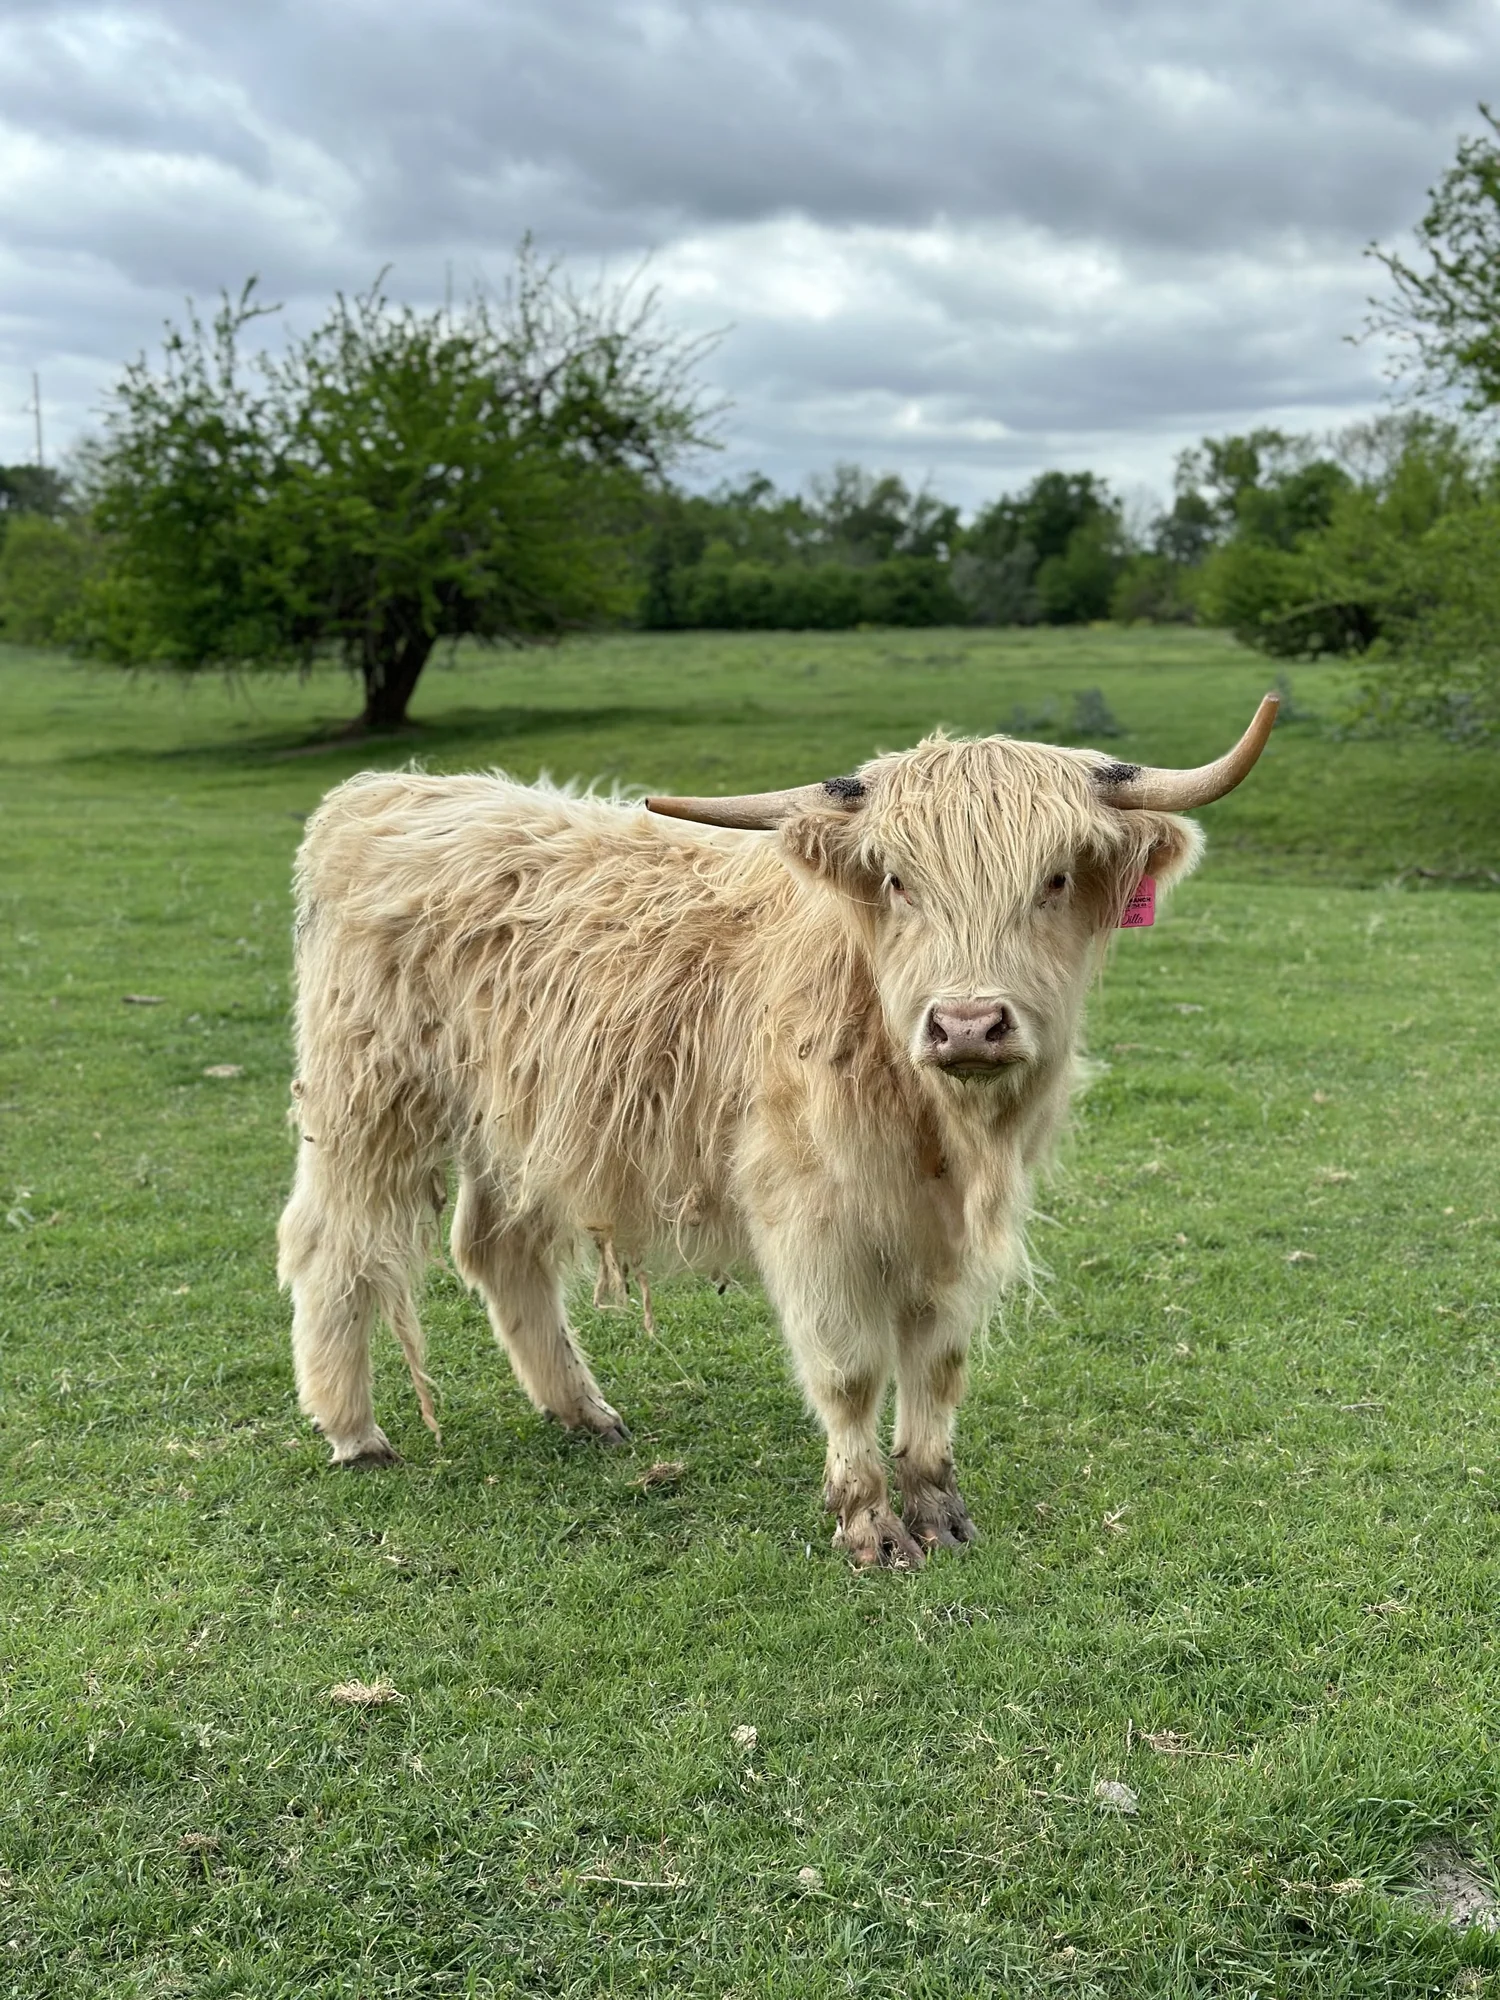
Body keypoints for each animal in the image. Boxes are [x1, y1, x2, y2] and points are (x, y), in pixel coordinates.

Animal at [277, 695, 1277, 1567]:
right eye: (898, 880)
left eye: (1056, 879)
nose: (966, 1024)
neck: (934, 1128)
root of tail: (392, 790)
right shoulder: (810, 1215)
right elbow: (848, 1369)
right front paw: (871, 1527)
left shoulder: (950, 1233)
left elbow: (937, 1363)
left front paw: (939, 1510)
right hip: (368, 1100)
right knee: (333, 1242)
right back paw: (355, 1431)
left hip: (522, 1120)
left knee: (497, 1248)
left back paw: (583, 1413)